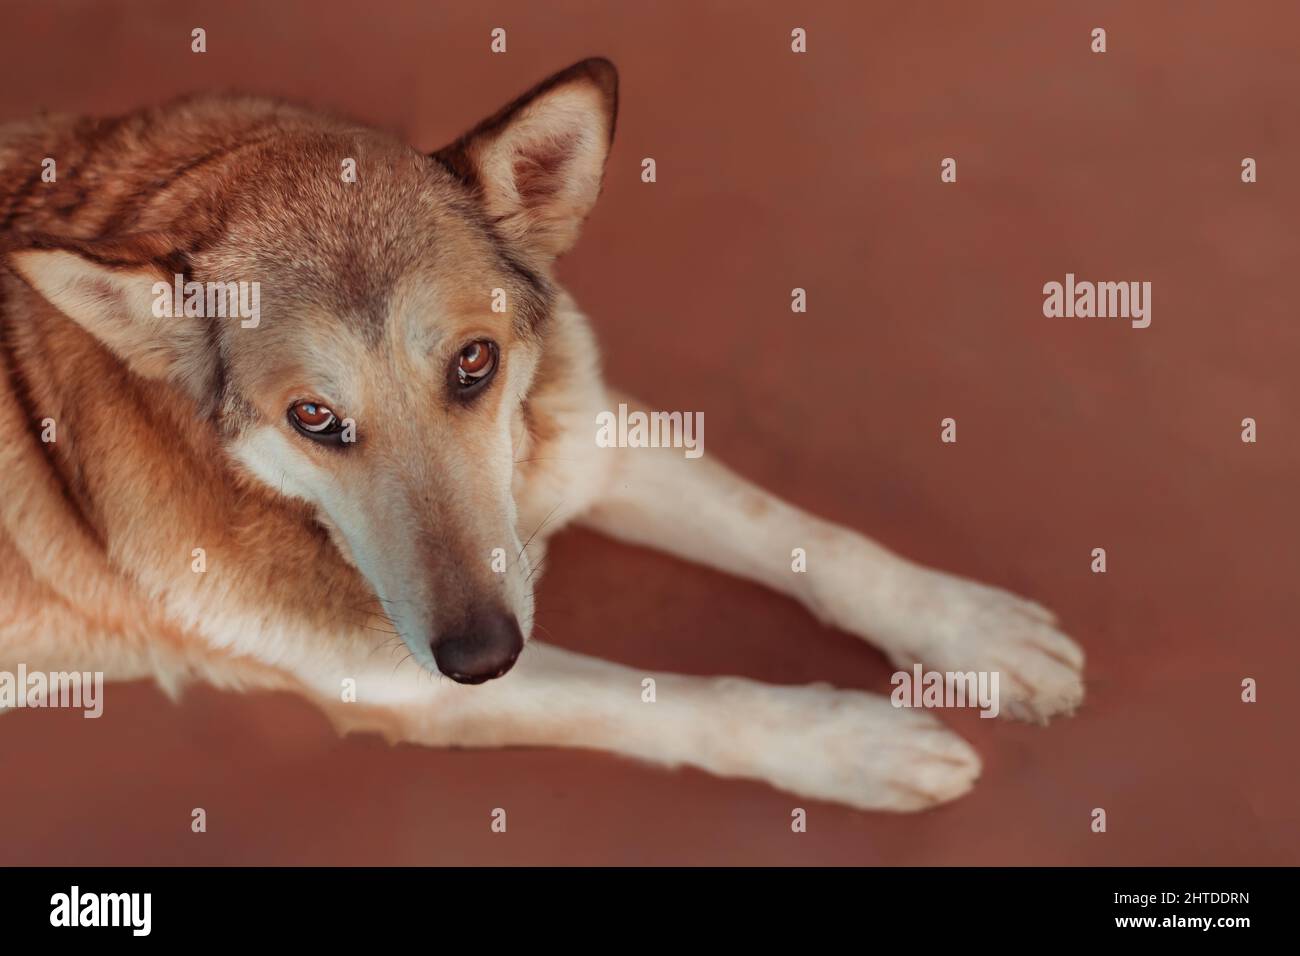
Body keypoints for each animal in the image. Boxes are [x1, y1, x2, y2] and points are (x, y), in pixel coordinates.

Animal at [0, 58, 1083, 812]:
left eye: (475, 362)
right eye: (312, 416)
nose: (479, 652)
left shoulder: (594, 432)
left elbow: (808, 538)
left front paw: (973, 630)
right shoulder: (418, 693)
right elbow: (683, 701)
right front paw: (854, 744)